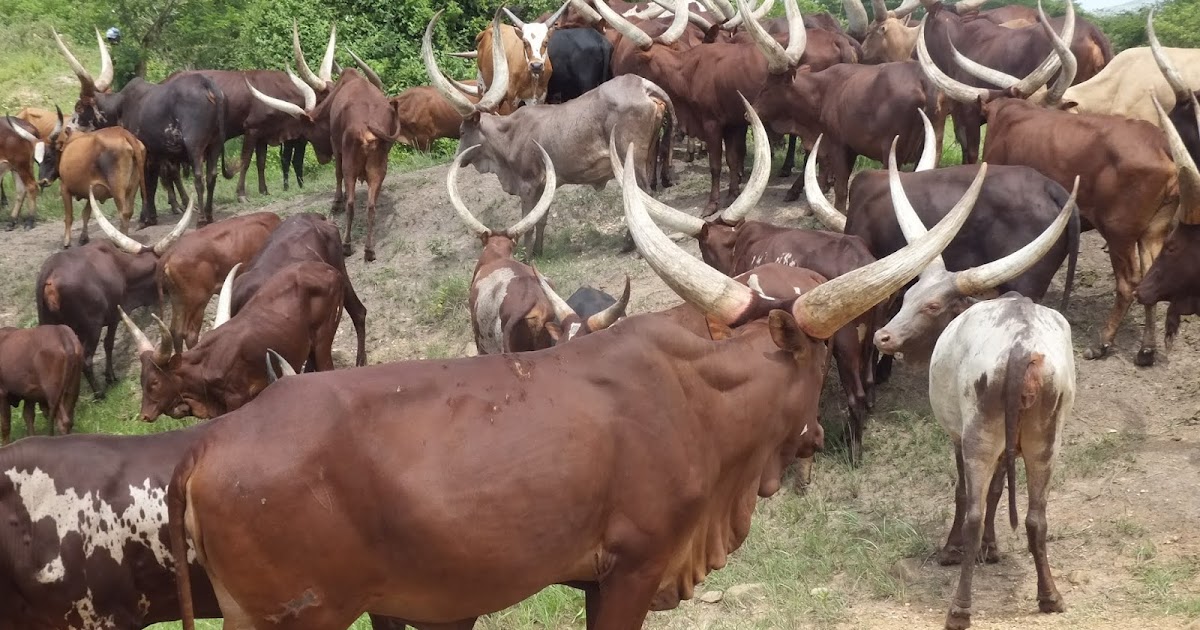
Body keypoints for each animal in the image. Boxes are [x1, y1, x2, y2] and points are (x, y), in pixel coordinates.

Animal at [35, 197, 192, 398]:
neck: (122, 269)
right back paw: (98, 393)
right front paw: (110, 377)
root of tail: (50, 278)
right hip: (92, 327)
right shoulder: (115, 316)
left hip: (48, 325)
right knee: (87, 360)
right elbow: (109, 344)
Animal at [36, 108, 148, 248]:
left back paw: (121, 240)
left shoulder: (65, 189)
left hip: (117, 189)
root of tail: (123, 133)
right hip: (133, 187)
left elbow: (69, 217)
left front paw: (67, 242)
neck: (68, 144)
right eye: (36, 161)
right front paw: (83, 238)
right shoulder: (91, 190)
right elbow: (86, 214)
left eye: (49, 157)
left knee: (124, 213)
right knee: (129, 211)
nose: (42, 181)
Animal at [54, 28, 235, 226]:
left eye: (79, 107)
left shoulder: (143, 153)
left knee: (199, 176)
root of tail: (206, 84)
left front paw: (145, 218)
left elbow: (145, 184)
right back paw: (209, 214)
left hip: (195, 145)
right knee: (211, 175)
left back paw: (201, 218)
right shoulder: (155, 154)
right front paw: (151, 216)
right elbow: (152, 184)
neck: (120, 107)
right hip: (216, 143)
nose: (67, 130)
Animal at [425, 10, 676, 257]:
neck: (509, 135)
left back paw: (631, 245)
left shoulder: (527, 185)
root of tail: (643, 86)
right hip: (650, 152)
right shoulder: (545, 185)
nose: (458, 158)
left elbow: (527, 223)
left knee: (642, 194)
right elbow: (541, 220)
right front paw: (538, 251)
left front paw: (526, 256)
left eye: (462, 131)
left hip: (631, 159)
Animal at [919, 16, 1180, 366]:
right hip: (1153, 230)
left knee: (1129, 284)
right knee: (1150, 280)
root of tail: (1162, 147)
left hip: (1119, 233)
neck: (1009, 113)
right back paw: (1146, 350)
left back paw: (1102, 343)